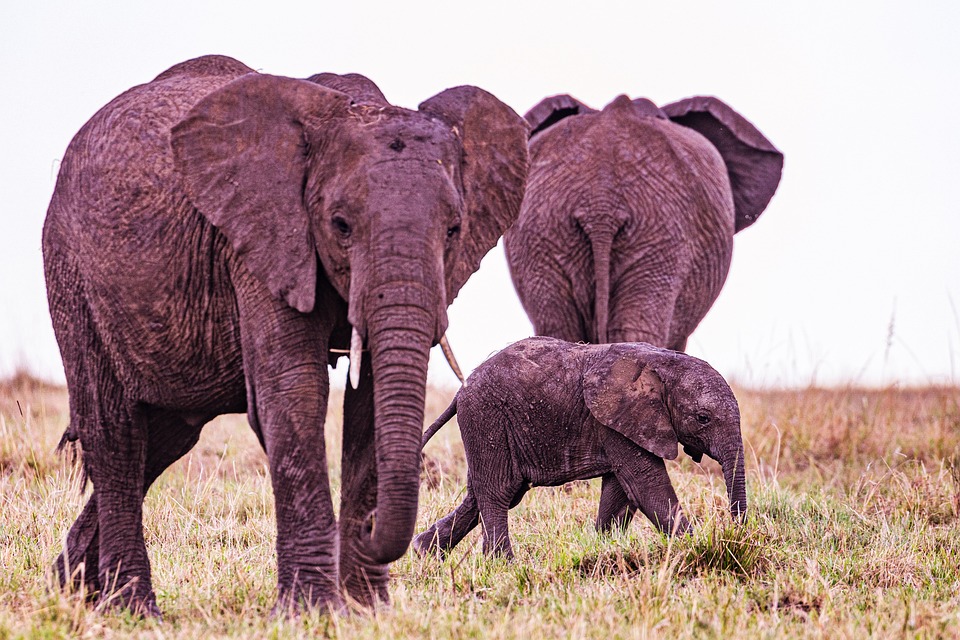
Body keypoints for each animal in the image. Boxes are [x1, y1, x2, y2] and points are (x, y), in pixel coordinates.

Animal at [42, 55, 528, 616]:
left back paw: (73, 589)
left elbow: (368, 403)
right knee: (116, 434)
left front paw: (367, 611)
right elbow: (294, 393)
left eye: (453, 230)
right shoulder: (262, 240)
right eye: (340, 225)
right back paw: (131, 609)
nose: (378, 536)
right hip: (72, 274)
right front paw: (312, 612)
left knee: (164, 438)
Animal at [413, 336, 745, 560]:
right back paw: (503, 564)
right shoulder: (616, 418)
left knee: (487, 493)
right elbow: (647, 485)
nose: (737, 533)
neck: (662, 365)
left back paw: (423, 552)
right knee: (498, 491)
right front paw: (695, 546)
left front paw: (604, 547)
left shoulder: (620, 423)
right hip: (487, 418)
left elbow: (620, 490)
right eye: (703, 418)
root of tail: (461, 390)